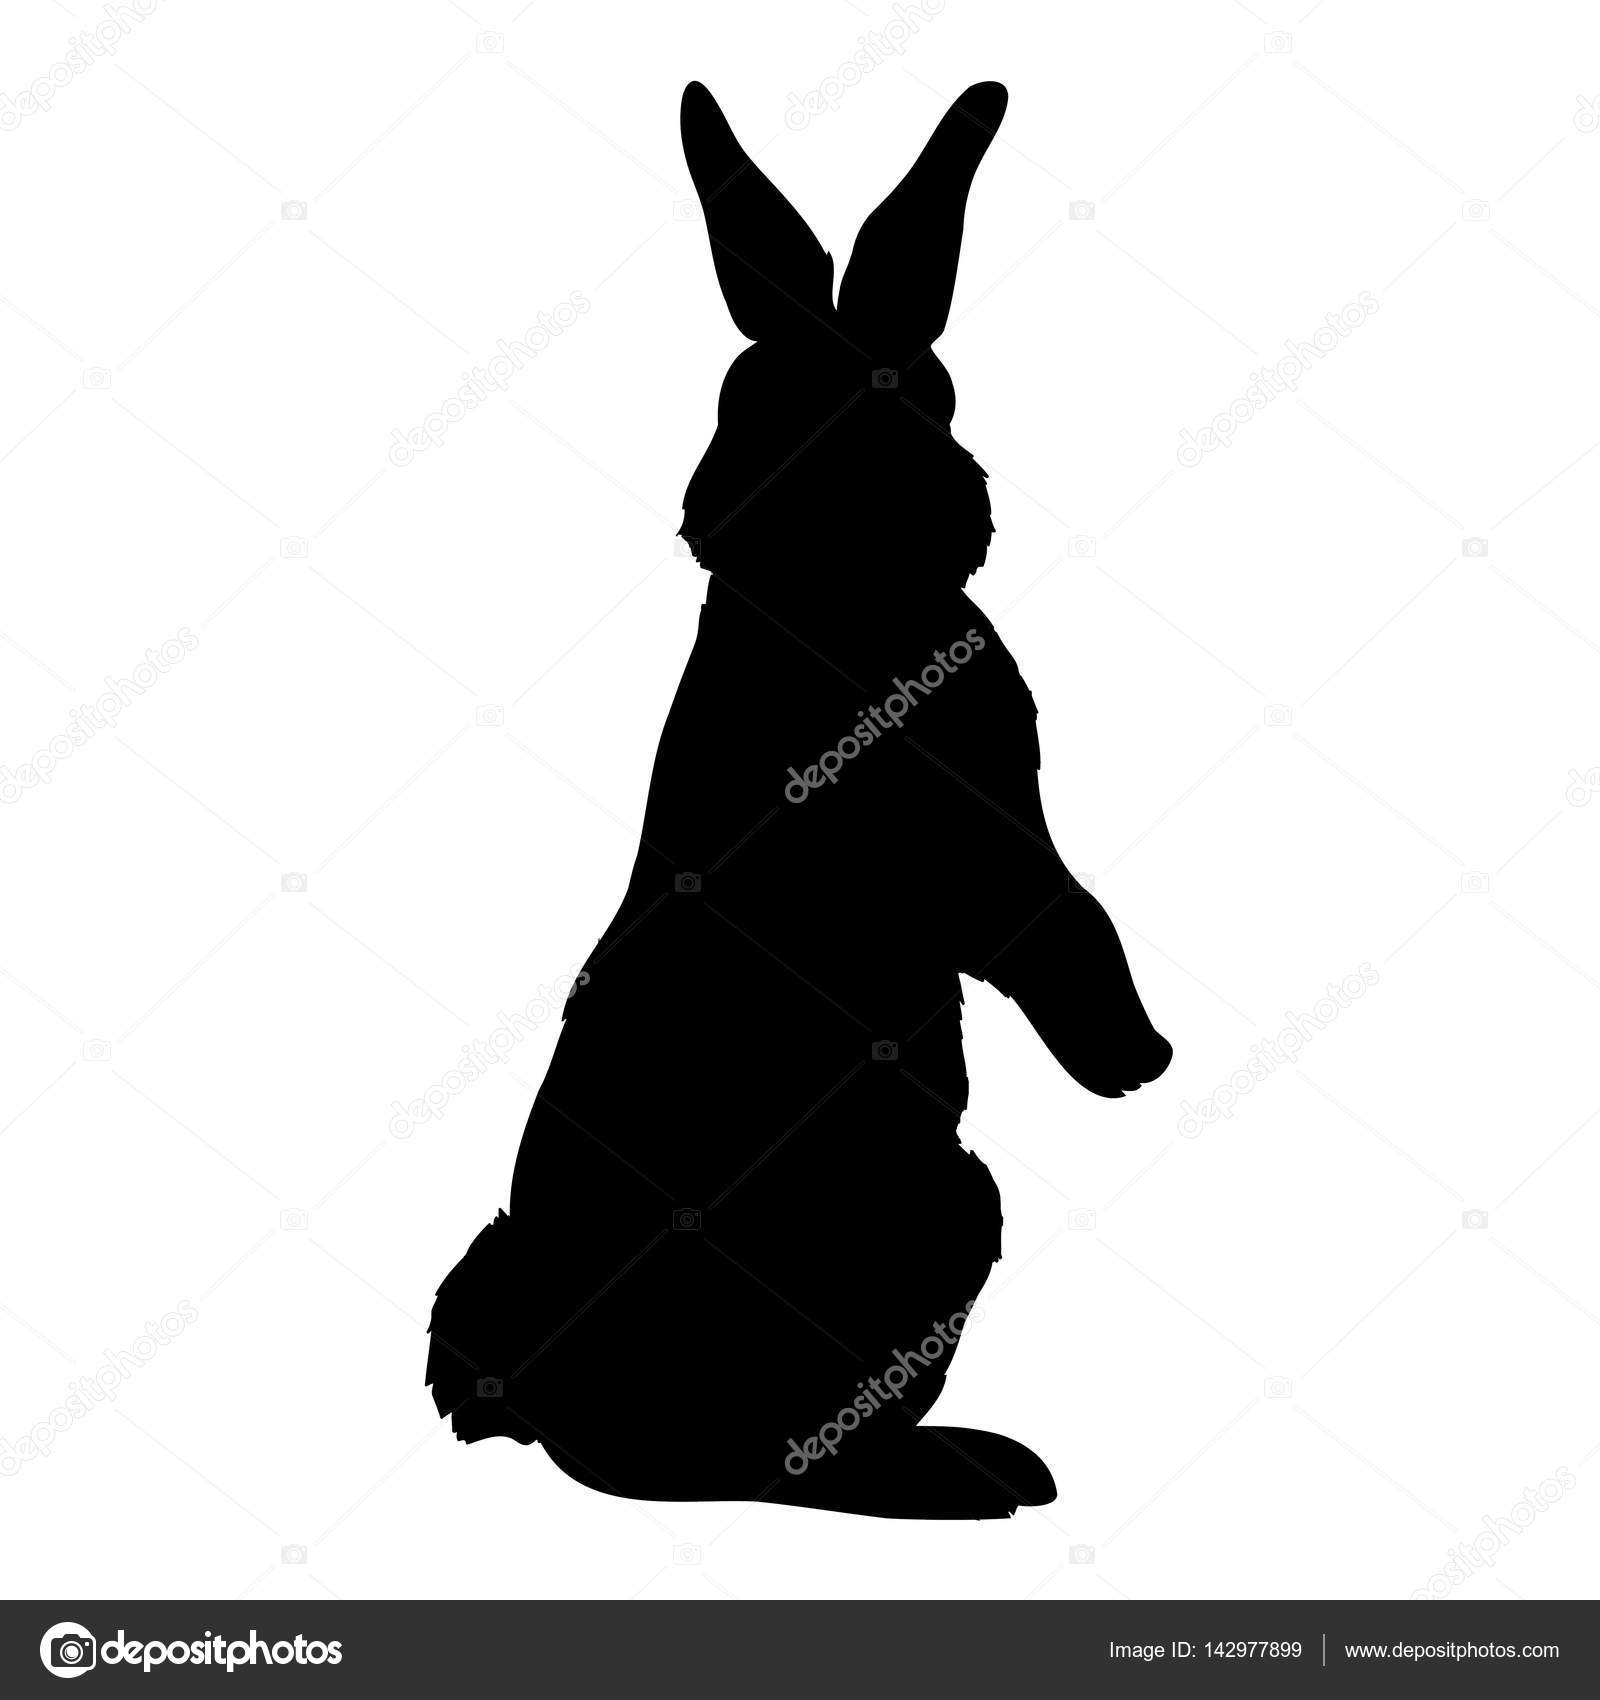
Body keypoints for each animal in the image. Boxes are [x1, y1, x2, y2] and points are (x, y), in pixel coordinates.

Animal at [425, 80, 1172, 1519]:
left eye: (922, 391)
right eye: (744, 392)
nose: (771, 487)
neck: (831, 599)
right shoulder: (980, 839)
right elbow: (1057, 916)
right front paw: (1134, 1062)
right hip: (934, 1211)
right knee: (766, 1462)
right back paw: (971, 1474)